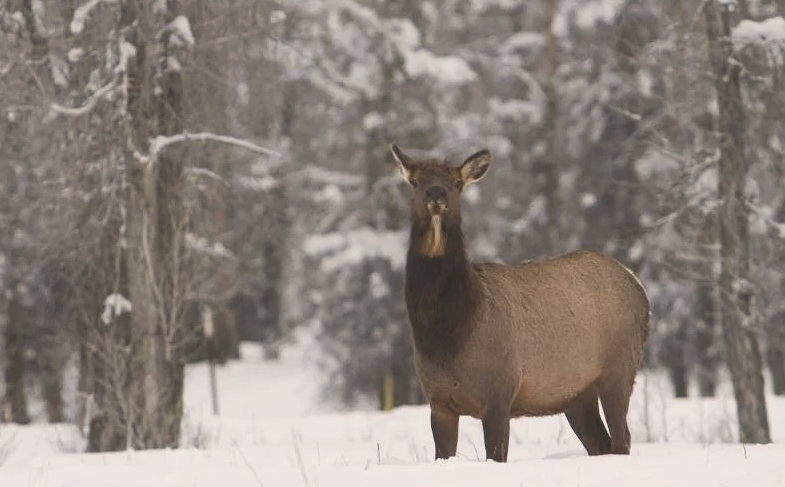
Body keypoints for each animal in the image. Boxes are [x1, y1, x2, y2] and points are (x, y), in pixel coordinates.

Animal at [391, 144, 650, 463]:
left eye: (457, 183)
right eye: (415, 182)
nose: (436, 193)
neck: (451, 333)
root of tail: (638, 286)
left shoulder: (499, 392)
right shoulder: (438, 402)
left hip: (620, 368)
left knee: (622, 440)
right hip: (577, 393)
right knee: (601, 442)